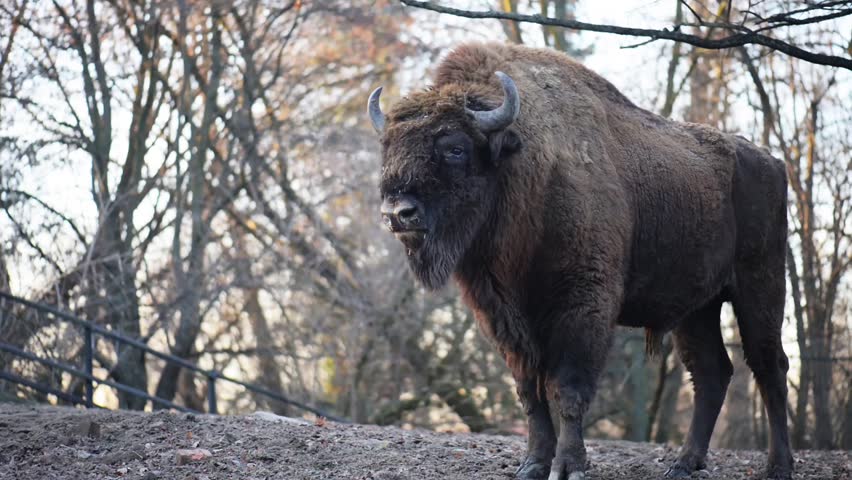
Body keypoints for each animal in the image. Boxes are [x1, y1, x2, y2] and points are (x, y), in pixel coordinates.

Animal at [368, 43, 792, 480]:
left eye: (455, 147)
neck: (523, 166)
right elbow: (530, 393)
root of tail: (773, 162)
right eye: (389, 148)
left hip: (760, 286)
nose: (398, 213)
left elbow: (566, 389)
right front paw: (533, 465)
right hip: (698, 309)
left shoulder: (582, 306)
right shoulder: (505, 319)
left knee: (769, 365)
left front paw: (569, 466)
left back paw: (778, 465)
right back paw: (684, 463)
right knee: (712, 372)